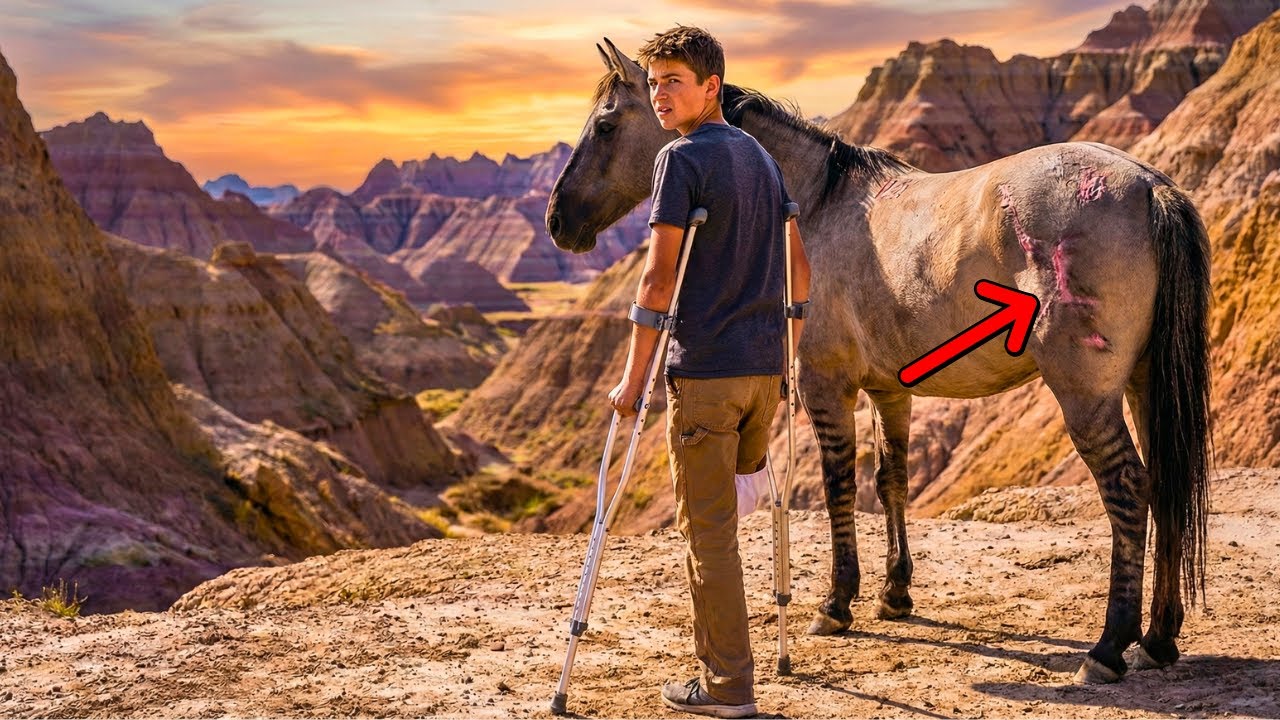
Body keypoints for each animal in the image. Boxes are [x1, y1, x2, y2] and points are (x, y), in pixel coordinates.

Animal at [546, 38, 1211, 684]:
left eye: (606, 124)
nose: (558, 218)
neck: (810, 203)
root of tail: (1148, 186)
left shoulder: (827, 387)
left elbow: (840, 484)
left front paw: (837, 603)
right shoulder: (891, 390)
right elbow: (892, 479)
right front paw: (896, 594)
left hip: (1087, 396)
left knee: (1129, 489)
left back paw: (1109, 647)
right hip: (1146, 386)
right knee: (1166, 483)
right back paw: (1158, 639)